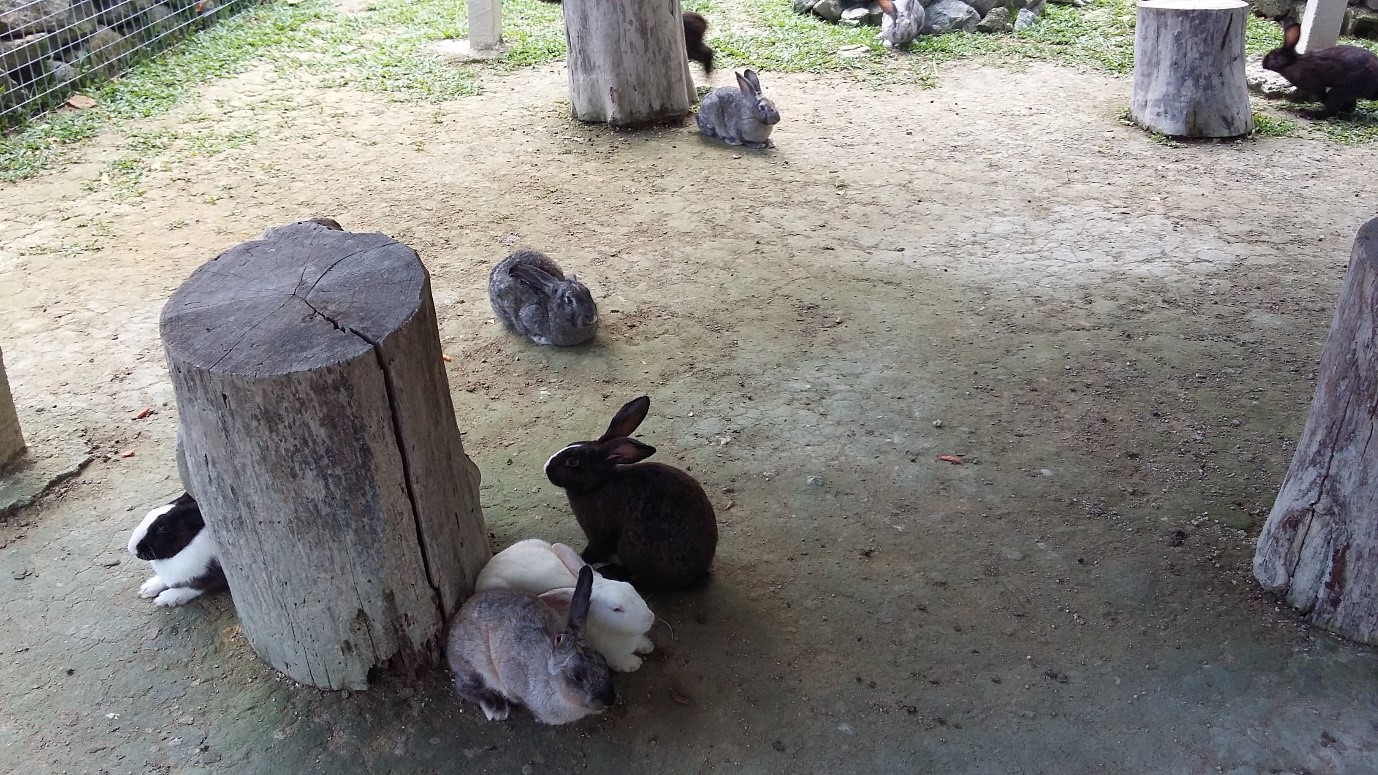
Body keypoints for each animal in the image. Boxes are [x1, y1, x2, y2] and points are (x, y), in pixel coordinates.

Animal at [447, 565, 615, 725]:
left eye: (603, 660)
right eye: (578, 677)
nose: (610, 700)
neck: (551, 679)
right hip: (474, 665)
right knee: (463, 686)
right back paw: (496, 707)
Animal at [476, 538, 657, 672]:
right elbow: (620, 662)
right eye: (617, 609)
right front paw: (634, 664)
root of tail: (486, 569)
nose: (650, 618)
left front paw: (647, 646)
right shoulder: (610, 655)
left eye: (630, 587)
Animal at [544, 396, 718, 591]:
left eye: (572, 462)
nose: (546, 469)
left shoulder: (598, 532)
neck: (600, 484)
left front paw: (583, 557)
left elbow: (598, 548)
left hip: (631, 547)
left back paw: (611, 570)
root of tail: (695, 577)